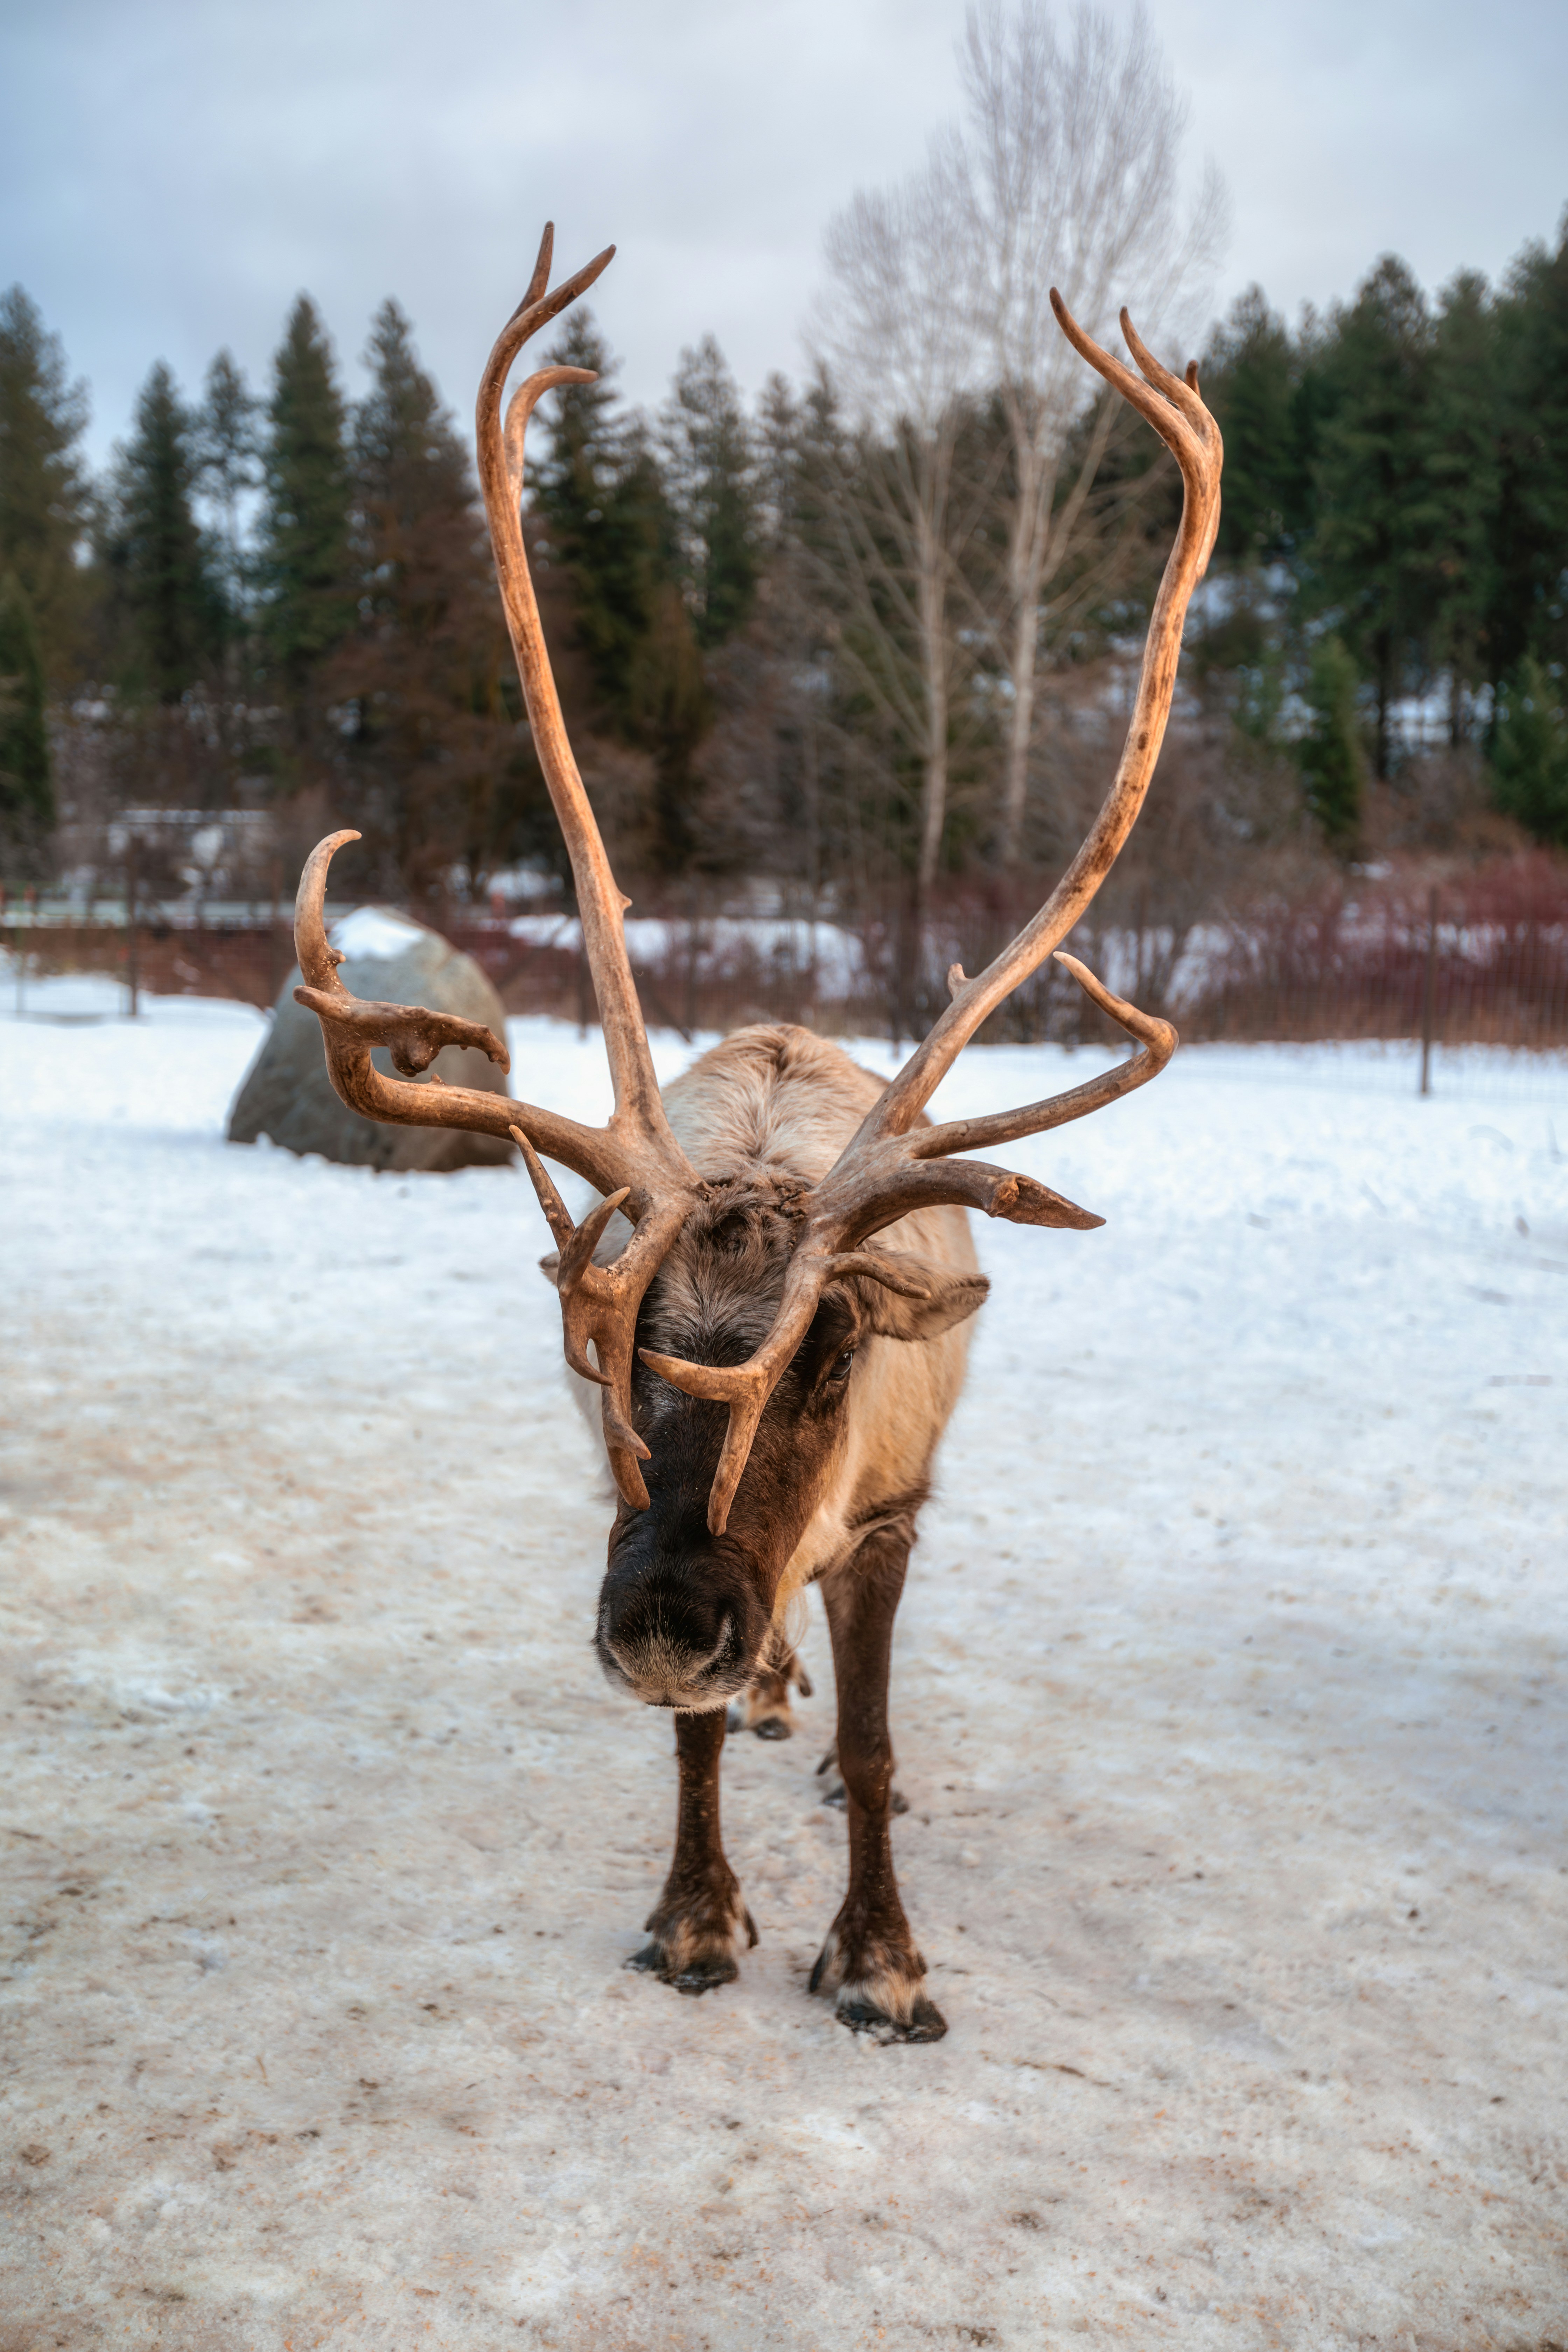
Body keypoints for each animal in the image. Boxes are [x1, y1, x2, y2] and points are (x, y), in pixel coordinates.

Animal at [289, 225, 1220, 2044]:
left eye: (833, 1349)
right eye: (612, 1334)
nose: (664, 1615)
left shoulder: (895, 1514)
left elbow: (874, 1738)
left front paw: (880, 1958)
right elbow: (698, 1745)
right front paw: (698, 1917)